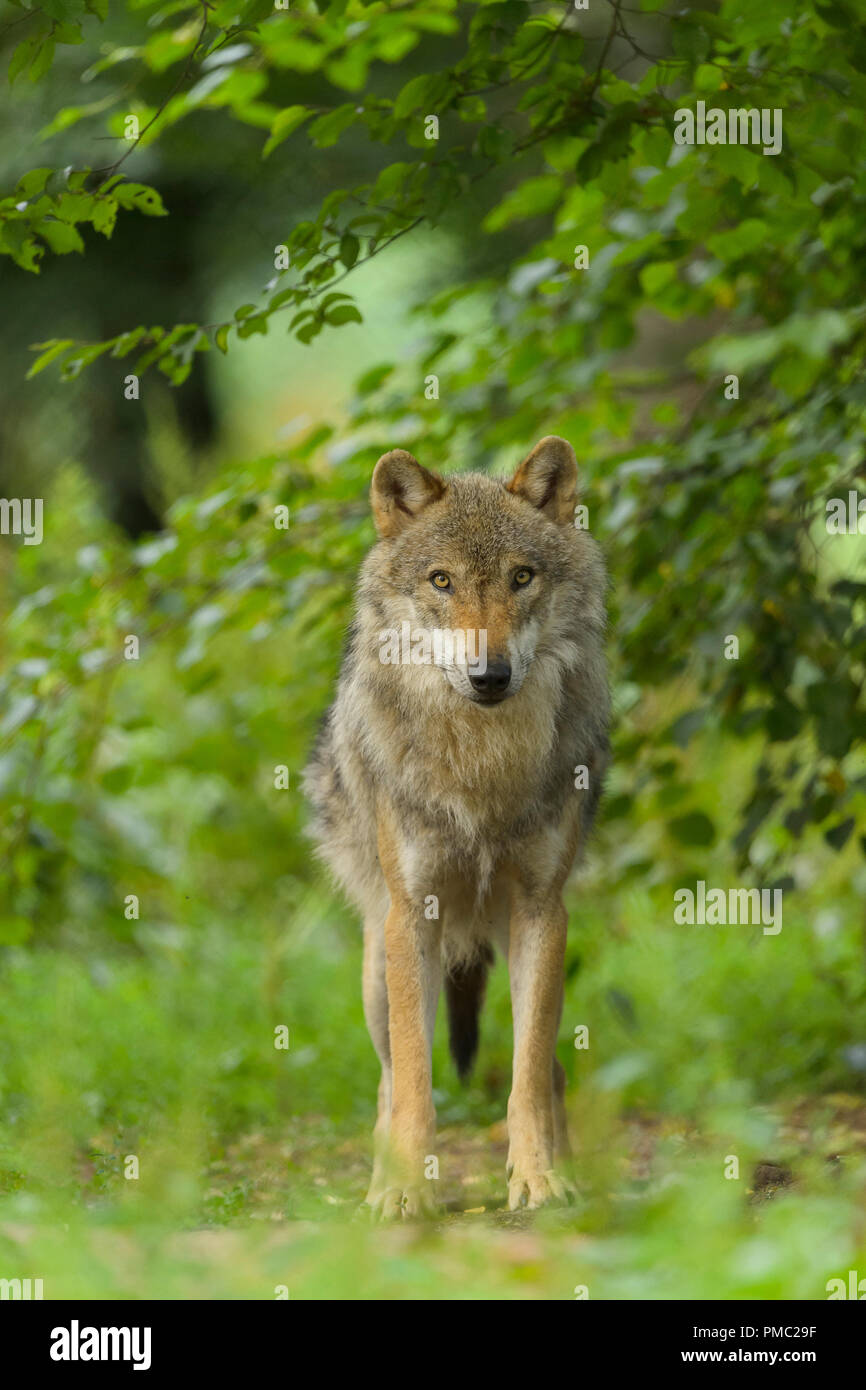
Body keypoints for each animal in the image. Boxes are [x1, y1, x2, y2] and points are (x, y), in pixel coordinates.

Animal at [304, 436, 609, 1216]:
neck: (480, 771)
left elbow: (526, 1078)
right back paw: (380, 1181)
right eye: (441, 581)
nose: (489, 675)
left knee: (553, 1069)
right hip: (379, 973)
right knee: (386, 1085)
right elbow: (416, 1082)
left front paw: (539, 1179)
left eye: (521, 577)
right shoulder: (415, 913)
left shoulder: (542, 910)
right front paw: (405, 1193)